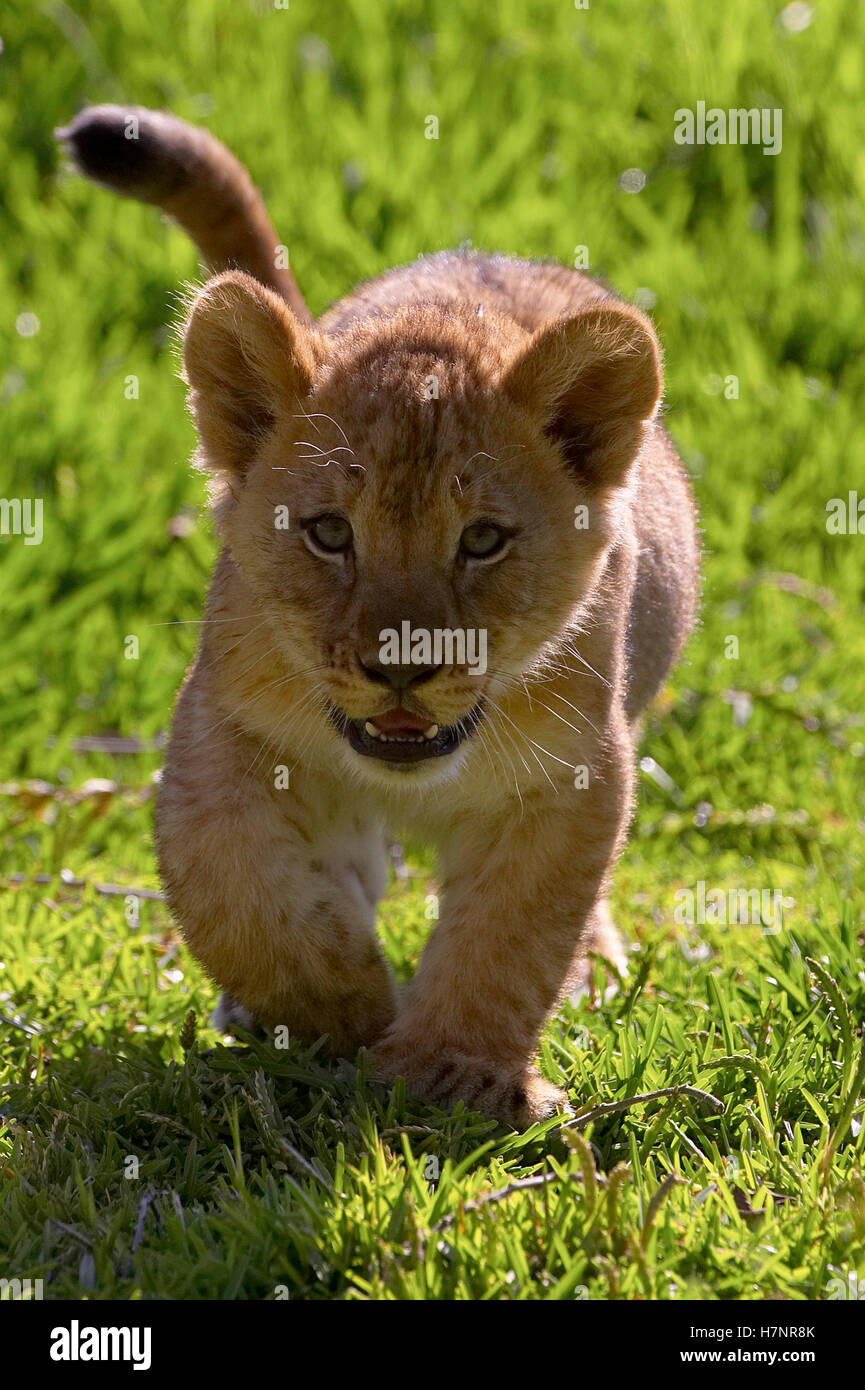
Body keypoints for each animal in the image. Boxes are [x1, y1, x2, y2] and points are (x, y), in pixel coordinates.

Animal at [59, 106, 699, 1127]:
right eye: (328, 533)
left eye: (482, 540)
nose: (401, 668)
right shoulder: (226, 730)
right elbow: (238, 893)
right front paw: (342, 1013)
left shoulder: (568, 776)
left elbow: (512, 935)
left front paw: (452, 1070)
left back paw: (593, 968)